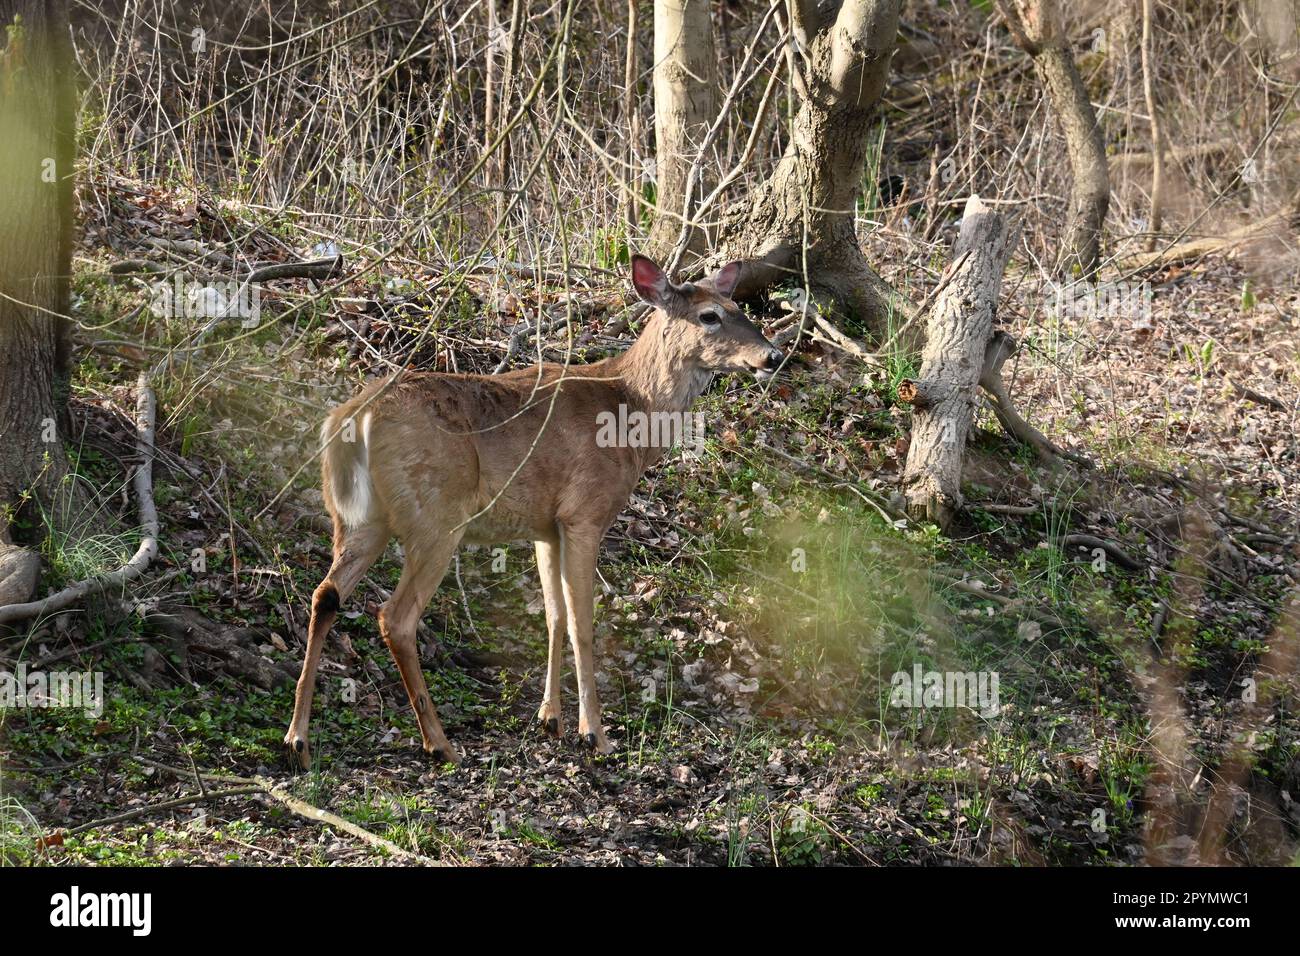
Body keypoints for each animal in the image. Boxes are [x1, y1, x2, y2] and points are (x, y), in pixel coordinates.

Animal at [283, 254, 784, 768]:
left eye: (737, 306)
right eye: (709, 315)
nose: (772, 356)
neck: (630, 411)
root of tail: (352, 419)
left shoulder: (546, 526)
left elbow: (553, 615)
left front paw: (551, 719)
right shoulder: (584, 513)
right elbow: (582, 621)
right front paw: (594, 733)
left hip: (359, 520)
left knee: (325, 595)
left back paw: (297, 740)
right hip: (435, 518)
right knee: (395, 617)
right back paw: (438, 742)